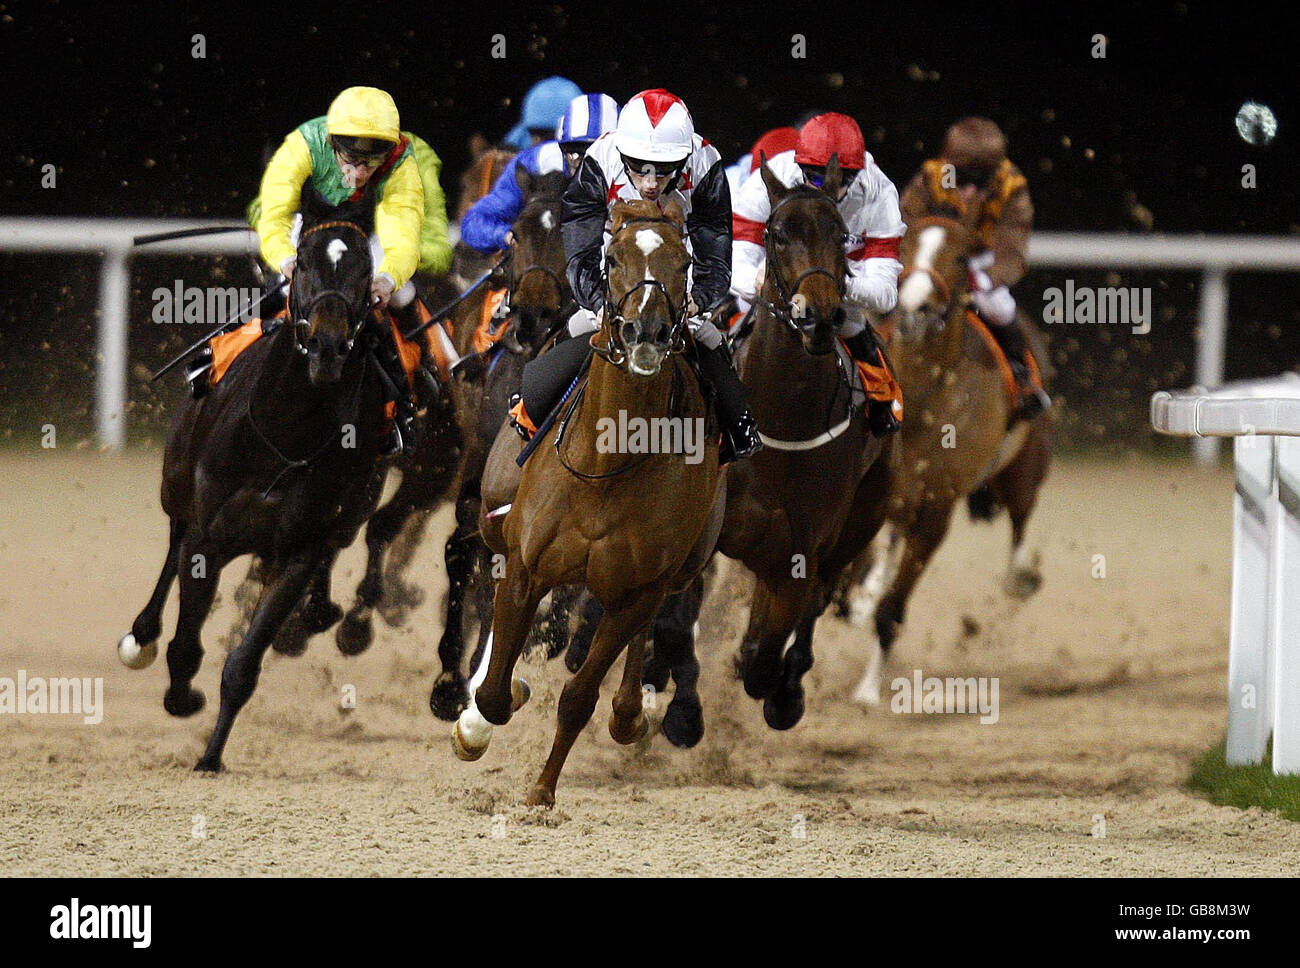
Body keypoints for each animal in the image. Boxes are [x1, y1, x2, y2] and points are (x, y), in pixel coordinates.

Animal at [119, 219, 387, 769]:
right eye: (302, 262)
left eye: (365, 272)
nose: (327, 346)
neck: (287, 433)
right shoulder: (208, 538)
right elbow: (185, 643)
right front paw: (184, 698)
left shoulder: (299, 550)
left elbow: (244, 662)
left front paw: (211, 756)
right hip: (176, 481)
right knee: (173, 540)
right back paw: (142, 633)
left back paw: (321, 610)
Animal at [457, 201, 728, 805]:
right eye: (615, 255)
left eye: (684, 261)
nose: (647, 331)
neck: (606, 466)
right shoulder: (528, 565)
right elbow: (495, 691)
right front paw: (483, 716)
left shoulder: (637, 590)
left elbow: (579, 696)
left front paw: (541, 793)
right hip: (495, 521)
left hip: (674, 572)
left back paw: (631, 714)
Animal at [837, 209, 1050, 701]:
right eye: (904, 246)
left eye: (962, 257)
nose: (915, 306)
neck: (921, 395)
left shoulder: (936, 509)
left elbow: (891, 610)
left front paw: (867, 691)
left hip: (1025, 466)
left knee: (1020, 518)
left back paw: (1020, 577)